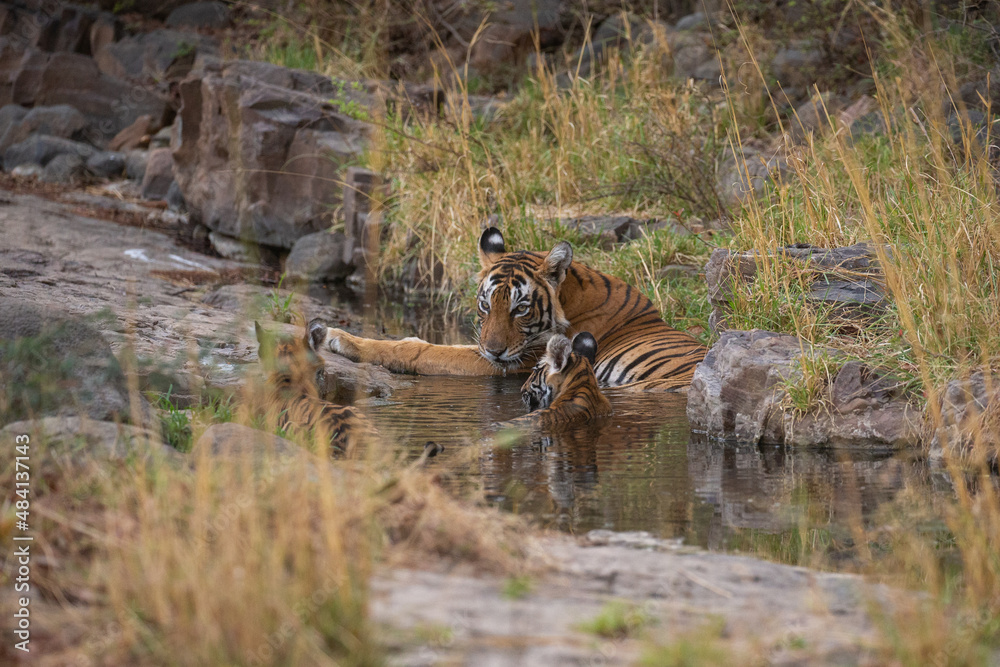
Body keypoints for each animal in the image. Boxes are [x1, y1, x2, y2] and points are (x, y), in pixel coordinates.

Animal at [314, 226, 707, 391]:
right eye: (485, 306)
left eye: (520, 309)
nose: (493, 350)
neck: (572, 299)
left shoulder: (514, 363)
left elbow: (423, 350)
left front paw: (336, 336)